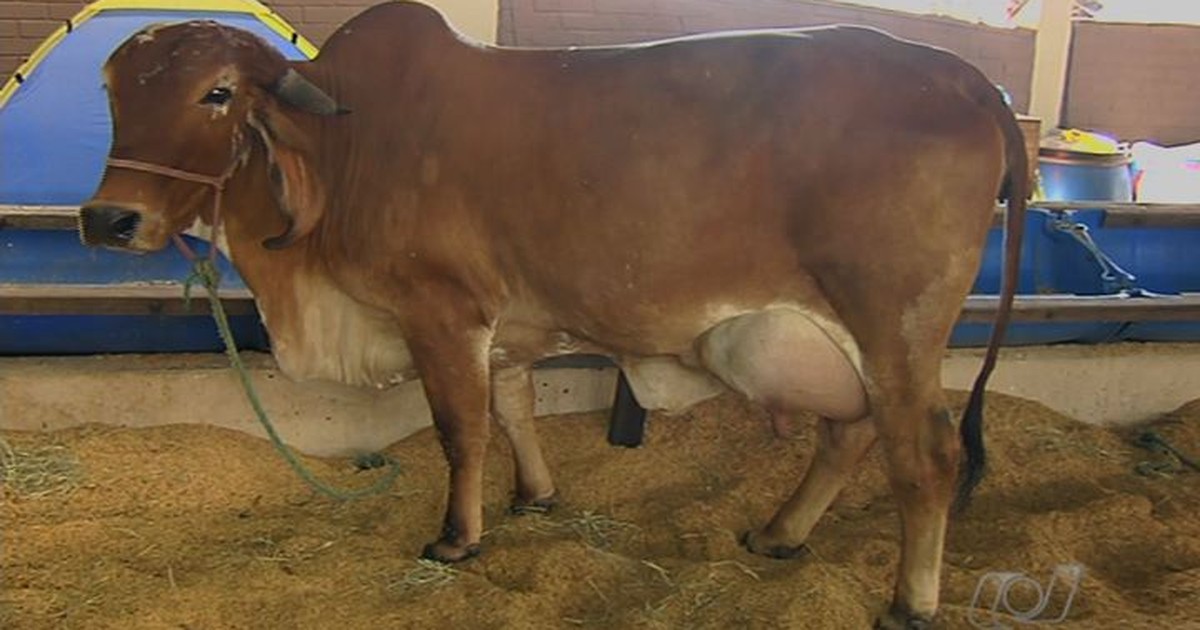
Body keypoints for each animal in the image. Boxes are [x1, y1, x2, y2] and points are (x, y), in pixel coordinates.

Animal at [78, 2, 1027, 627]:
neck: (348, 143)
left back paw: (909, 602)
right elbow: (512, 407)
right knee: (852, 432)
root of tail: (969, 78)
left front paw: (457, 539)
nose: (107, 219)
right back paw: (777, 534)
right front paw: (535, 495)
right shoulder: (504, 328)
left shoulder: (441, 308)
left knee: (926, 455)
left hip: (895, 323)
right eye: (112, 91)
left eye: (217, 93)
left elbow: (461, 428)